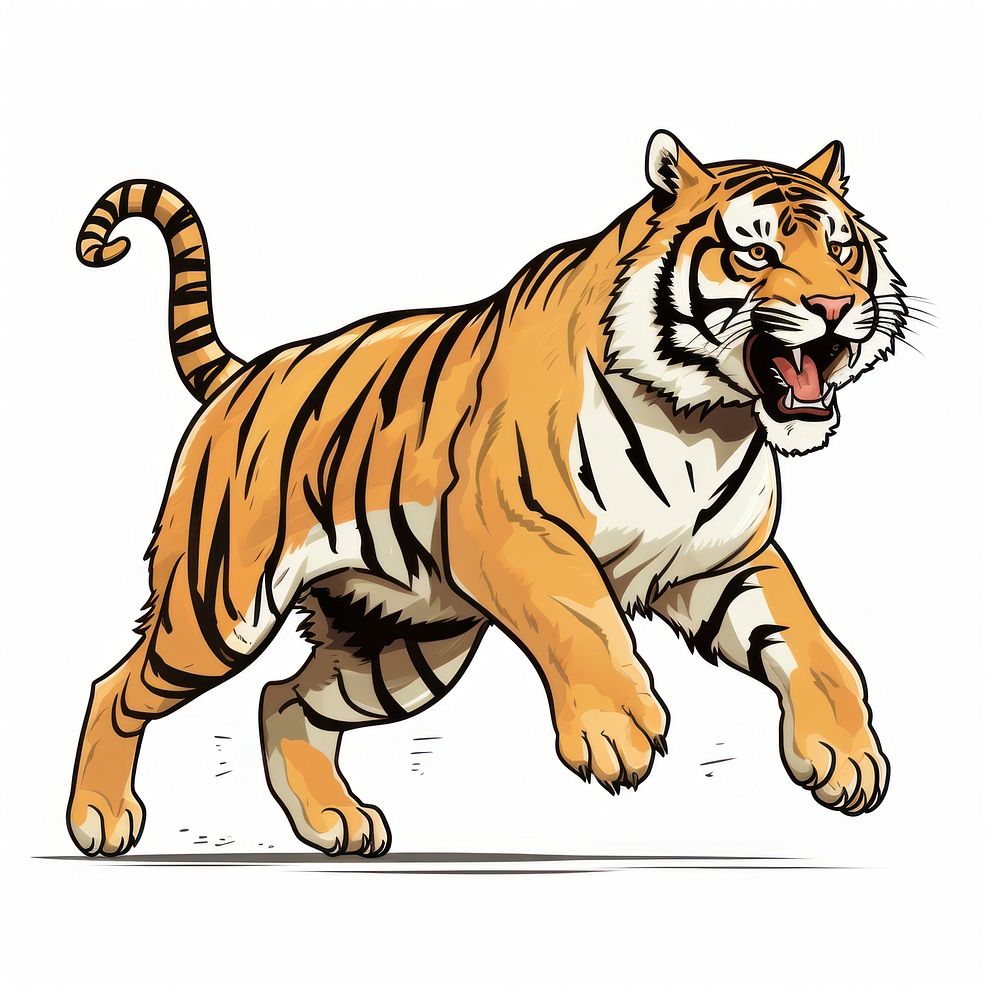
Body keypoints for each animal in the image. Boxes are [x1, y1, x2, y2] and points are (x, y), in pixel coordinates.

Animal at [69, 131, 906, 857]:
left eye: (841, 251)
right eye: (757, 252)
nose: (836, 307)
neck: (701, 420)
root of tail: (245, 372)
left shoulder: (723, 563)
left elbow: (817, 648)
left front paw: (846, 756)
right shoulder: (511, 526)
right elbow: (582, 613)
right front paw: (618, 731)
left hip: (407, 651)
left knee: (282, 697)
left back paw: (336, 821)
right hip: (220, 611)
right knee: (115, 686)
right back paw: (98, 821)